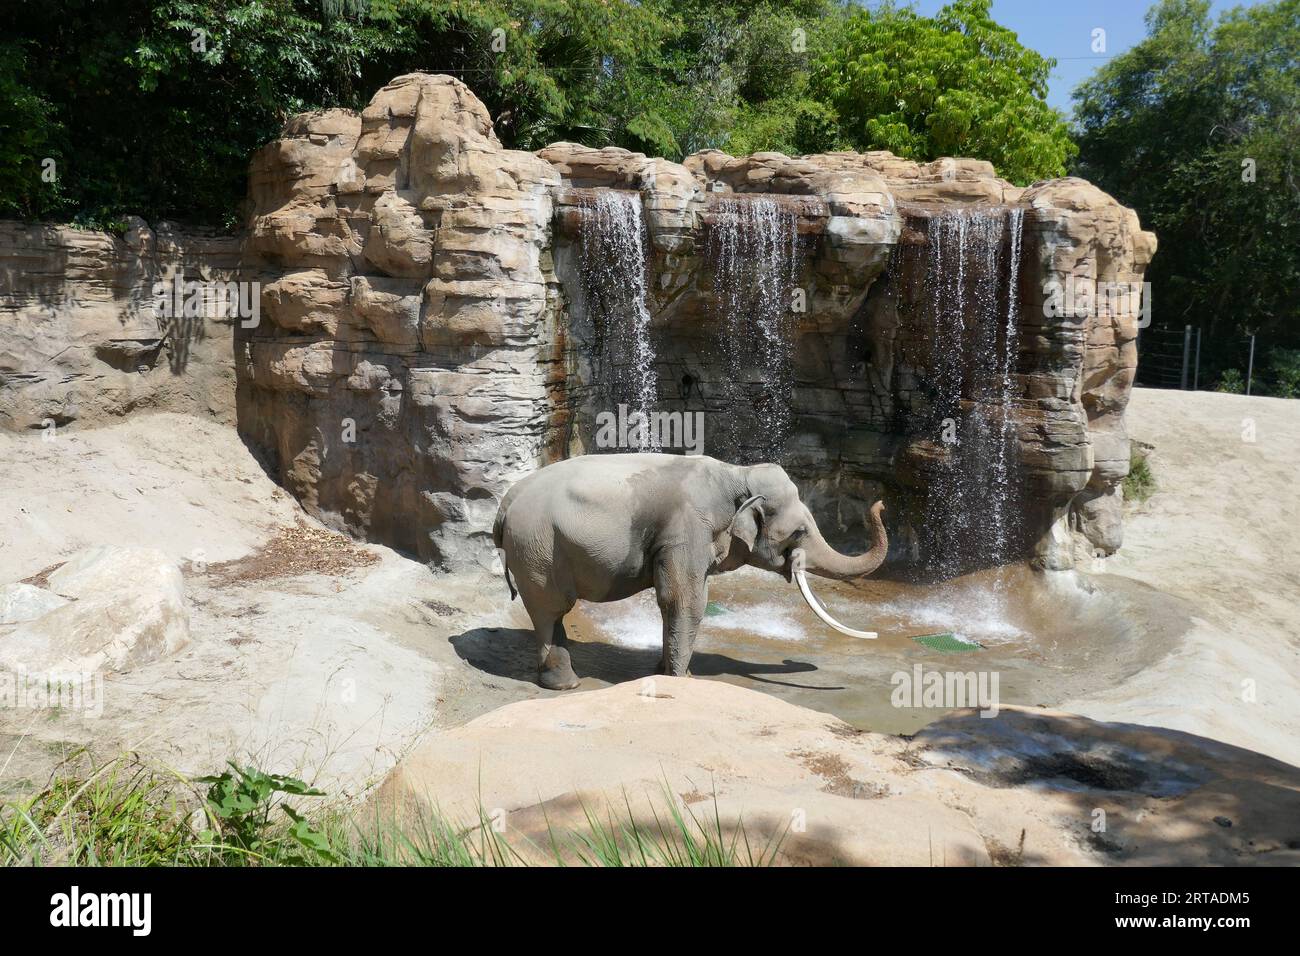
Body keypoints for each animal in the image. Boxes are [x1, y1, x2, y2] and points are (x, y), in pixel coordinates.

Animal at [492, 453, 888, 689]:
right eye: (800, 532)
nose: (881, 504)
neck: (735, 473)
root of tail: (506, 503)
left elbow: (675, 600)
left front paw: (667, 672)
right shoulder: (686, 529)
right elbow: (685, 599)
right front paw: (683, 680)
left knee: (552, 613)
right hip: (538, 547)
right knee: (549, 609)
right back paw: (564, 684)